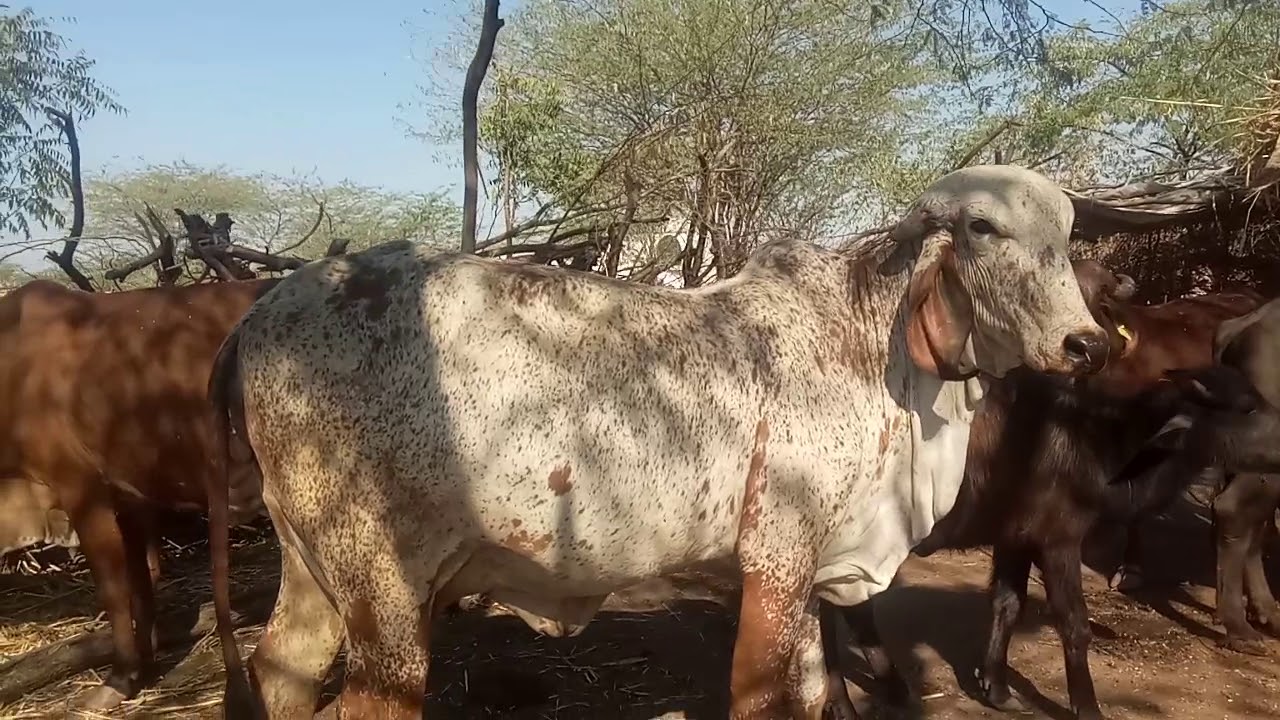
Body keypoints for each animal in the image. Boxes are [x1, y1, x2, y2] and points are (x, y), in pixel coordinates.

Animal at [0, 278, 276, 710]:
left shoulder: (82, 490)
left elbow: (113, 588)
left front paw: (118, 678)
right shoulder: (125, 496)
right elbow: (140, 581)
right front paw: (144, 663)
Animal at [206, 164, 1112, 720]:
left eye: (1069, 233)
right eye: (984, 226)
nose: (1086, 344)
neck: (867, 346)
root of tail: (261, 313)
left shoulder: (816, 572)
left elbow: (814, 691)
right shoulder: (777, 559)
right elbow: (762, 697)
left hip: (313, 571)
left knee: (280, 672)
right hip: (385, 592)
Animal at [820, 267, 1263, 720]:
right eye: (1242, 407)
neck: (1094, 433)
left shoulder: (1015, 538)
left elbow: (1007, 603)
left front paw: (997, 688)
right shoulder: (1059, 539)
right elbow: (1075, 625)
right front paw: (1087, 707)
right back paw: (848, 702)